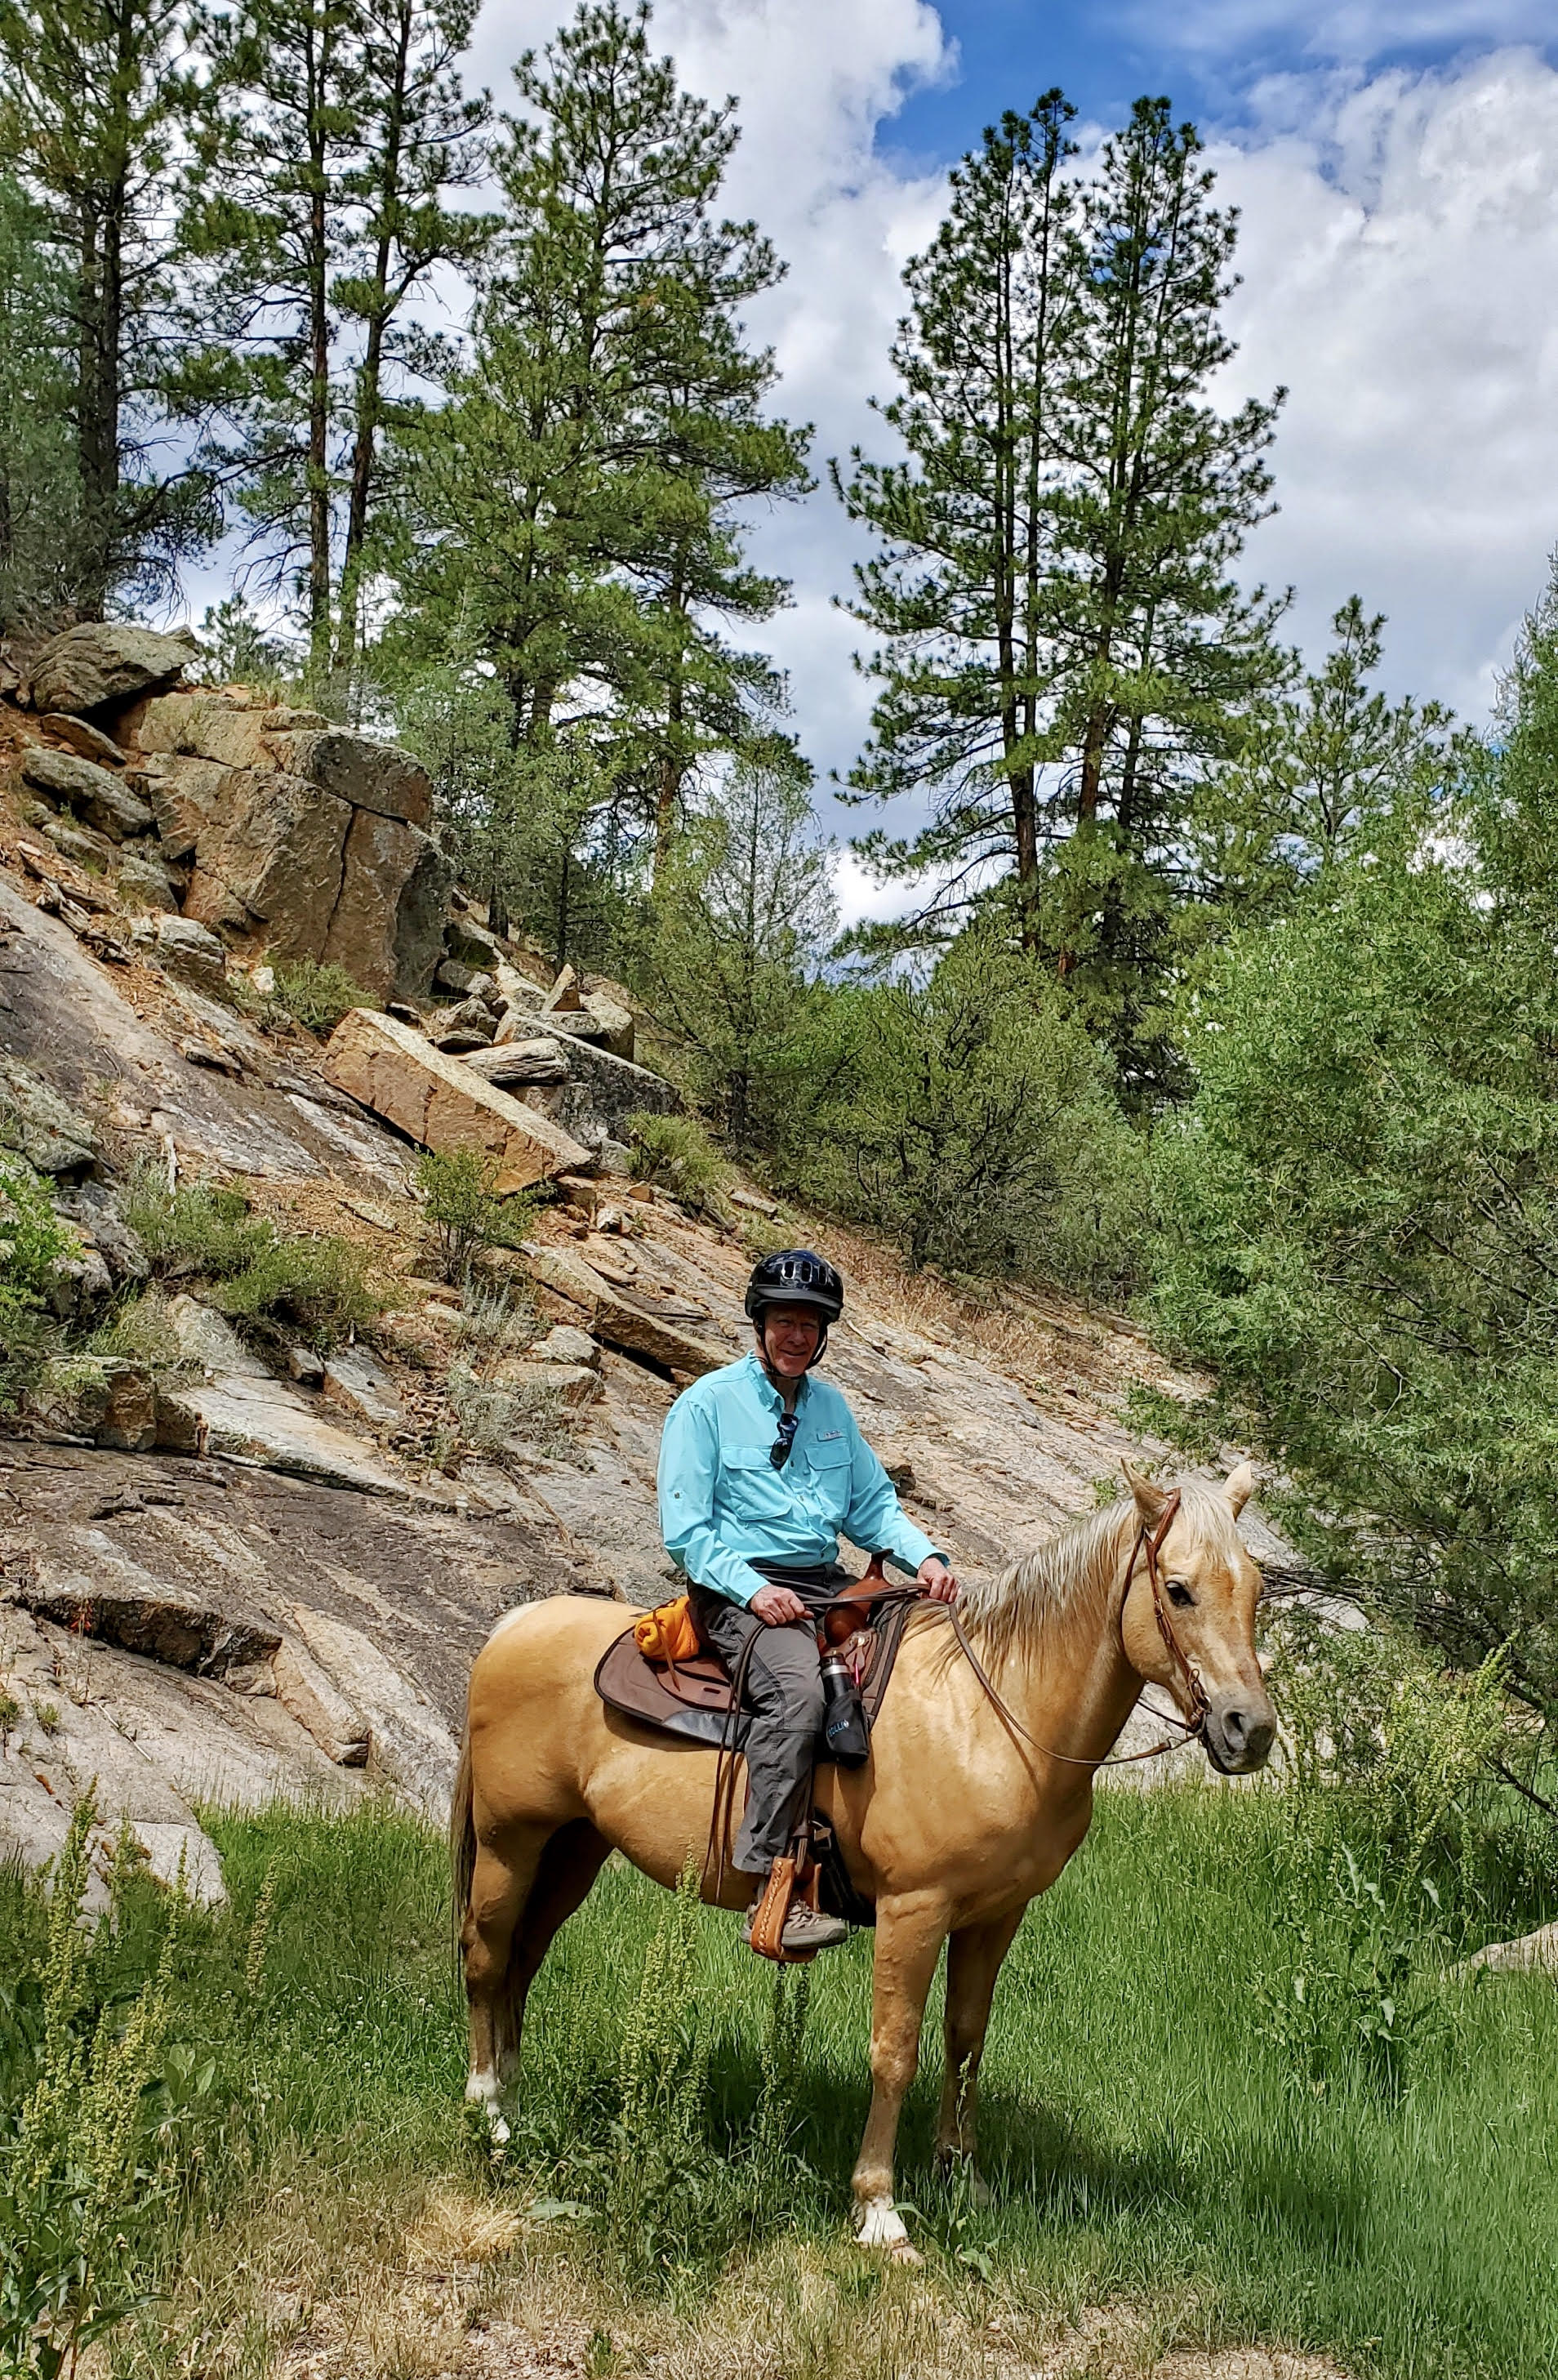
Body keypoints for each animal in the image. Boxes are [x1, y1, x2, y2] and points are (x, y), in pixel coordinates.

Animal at [450, 1461, 1276, 2260]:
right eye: (1178, 1589)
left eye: (1256, 1589)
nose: (1251, 1730)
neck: (992, 1713)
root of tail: (517, 1623)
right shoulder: (916, 1909)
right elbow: (896, 2051)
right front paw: (879, 2211)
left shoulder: (997, 1914)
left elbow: (966, 2040)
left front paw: (962, 2178)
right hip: (509, 1841)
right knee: (486, 1957)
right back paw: (490, 2116)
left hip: (574, 1849)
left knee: (524, 1958)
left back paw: (515, 2101)